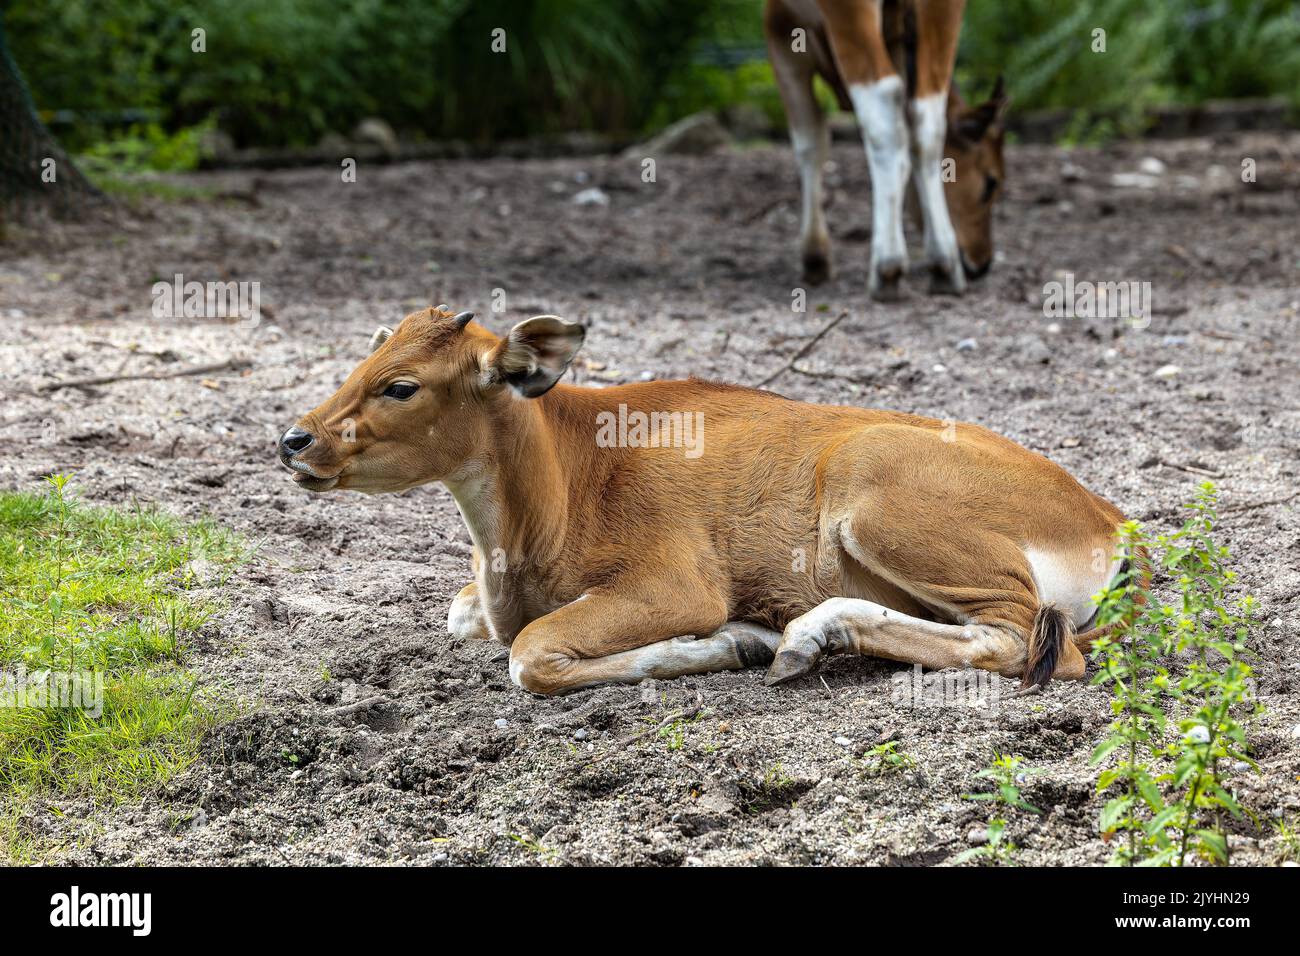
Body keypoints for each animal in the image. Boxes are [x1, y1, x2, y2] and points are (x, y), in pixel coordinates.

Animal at [278, 307, 1131, 696]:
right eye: (364, 359)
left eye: (401, 385)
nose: (294, 440)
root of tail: (1112, 526)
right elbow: (463, 615)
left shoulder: (678, 582)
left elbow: (531, 653)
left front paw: (730, 643)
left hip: (881, 498)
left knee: (1031, 643)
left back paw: (798, 637)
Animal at [764, 0, 1007, 298]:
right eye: (991, 183)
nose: (983, 263)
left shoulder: (779, 22)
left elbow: (810, 141)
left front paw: (815, 257)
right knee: (927, 114)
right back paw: (943, 265)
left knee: (885, 102)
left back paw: (888, 266)